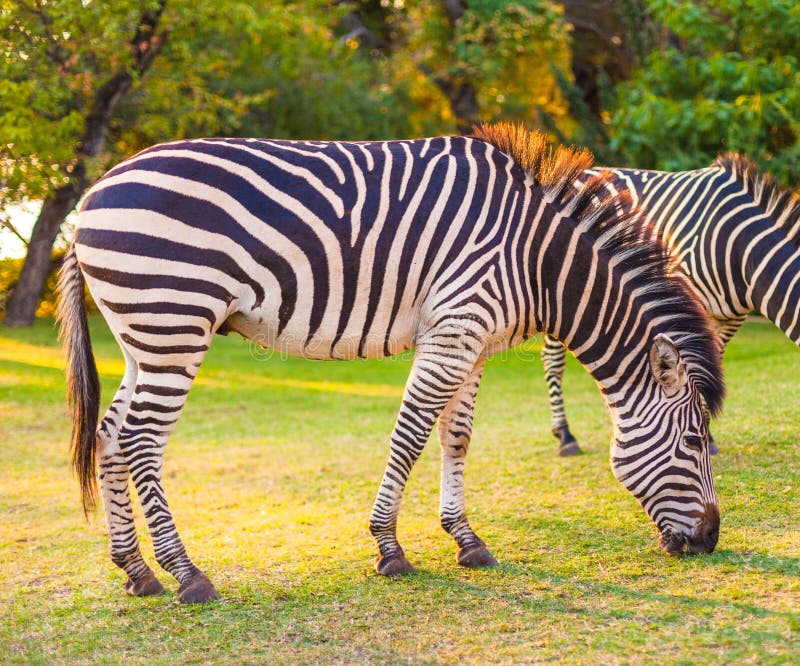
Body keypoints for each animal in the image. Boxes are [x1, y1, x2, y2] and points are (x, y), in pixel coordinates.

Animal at [58, 123, 724, 604]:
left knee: (110, 435)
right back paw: (188, 575)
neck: (535, 257)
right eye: (695, 443)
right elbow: (410, 434)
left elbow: (456, 436)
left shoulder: (474, 339)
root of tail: (89, 197)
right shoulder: (454, 326)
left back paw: (137, 571)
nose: (713, 539)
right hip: (175, 320)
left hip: (144, 336)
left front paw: (466, 540)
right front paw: (389, 548)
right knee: (141, 441)